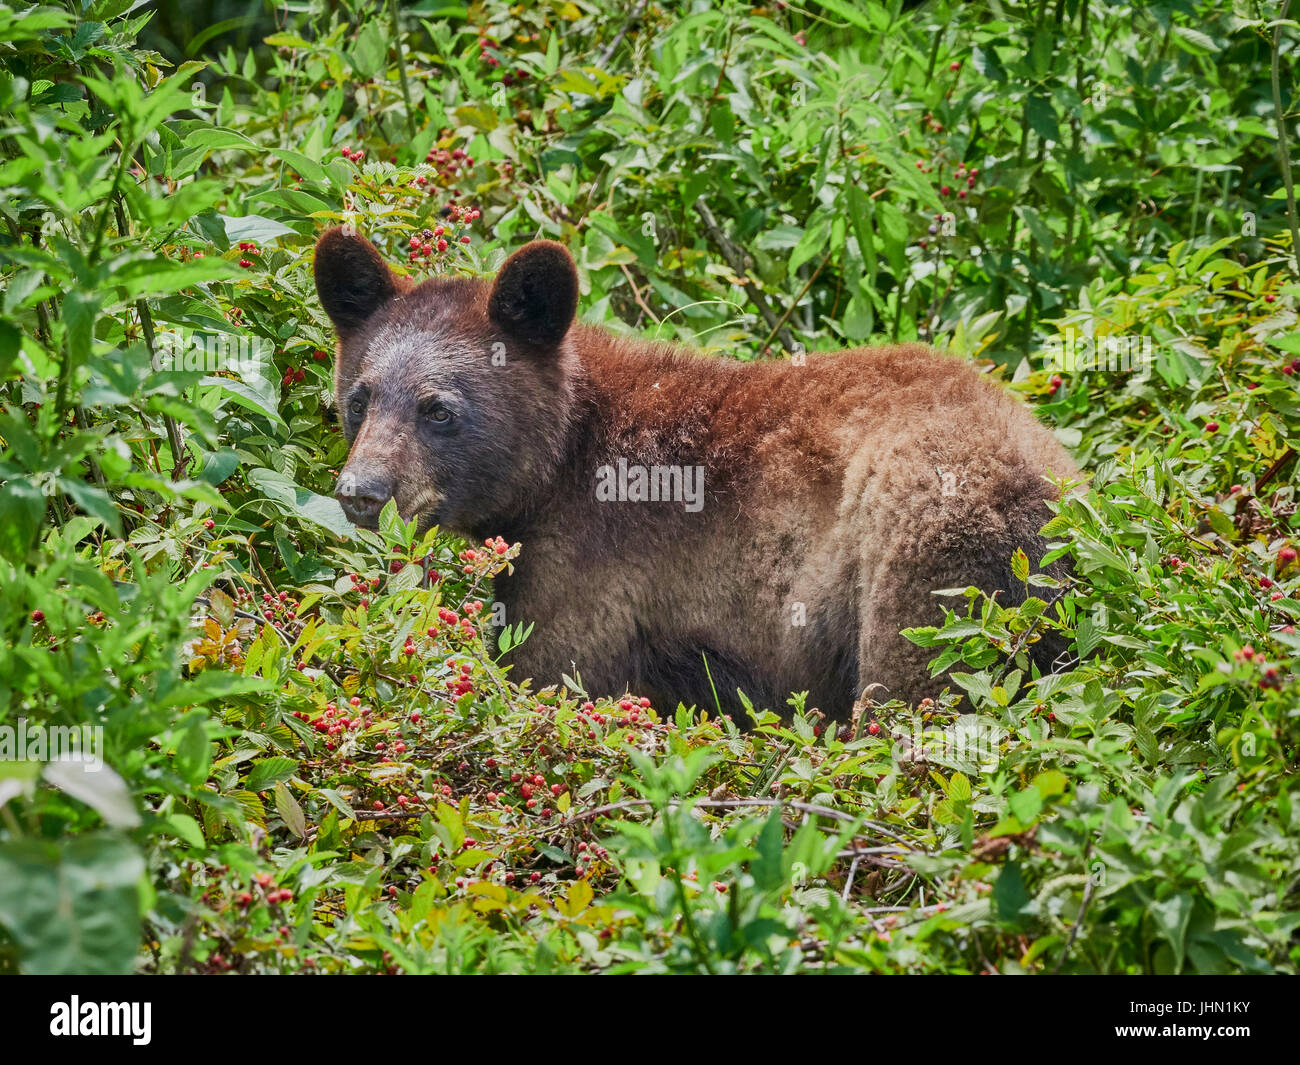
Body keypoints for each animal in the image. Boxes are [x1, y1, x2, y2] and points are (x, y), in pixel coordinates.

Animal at [314, 227, 1079, 719]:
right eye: (359, 399)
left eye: (438, 409)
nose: (362, 492)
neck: (558, 459)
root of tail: (1047, 491)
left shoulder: (592, 573)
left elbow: (555, 671)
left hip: (926, 556)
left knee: (919, 682)